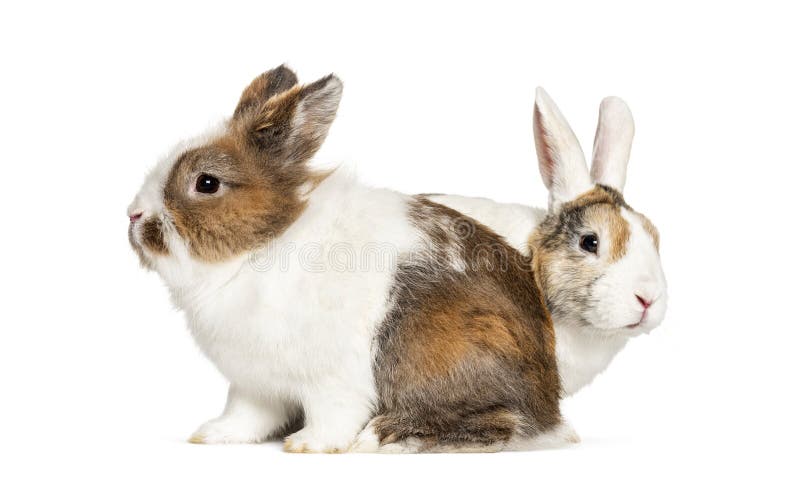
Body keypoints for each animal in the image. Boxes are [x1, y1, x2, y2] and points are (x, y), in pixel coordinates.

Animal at [127, 65, 579, 453]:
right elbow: (246, 415)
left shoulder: (331, 380)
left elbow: (333, 415)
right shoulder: (254, 383)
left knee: (501, 421)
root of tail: (548, 402)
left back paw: (385, 436)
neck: (259, 250)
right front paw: (212, 435)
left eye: (207, 182)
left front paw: (308, 445)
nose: (133, 215)